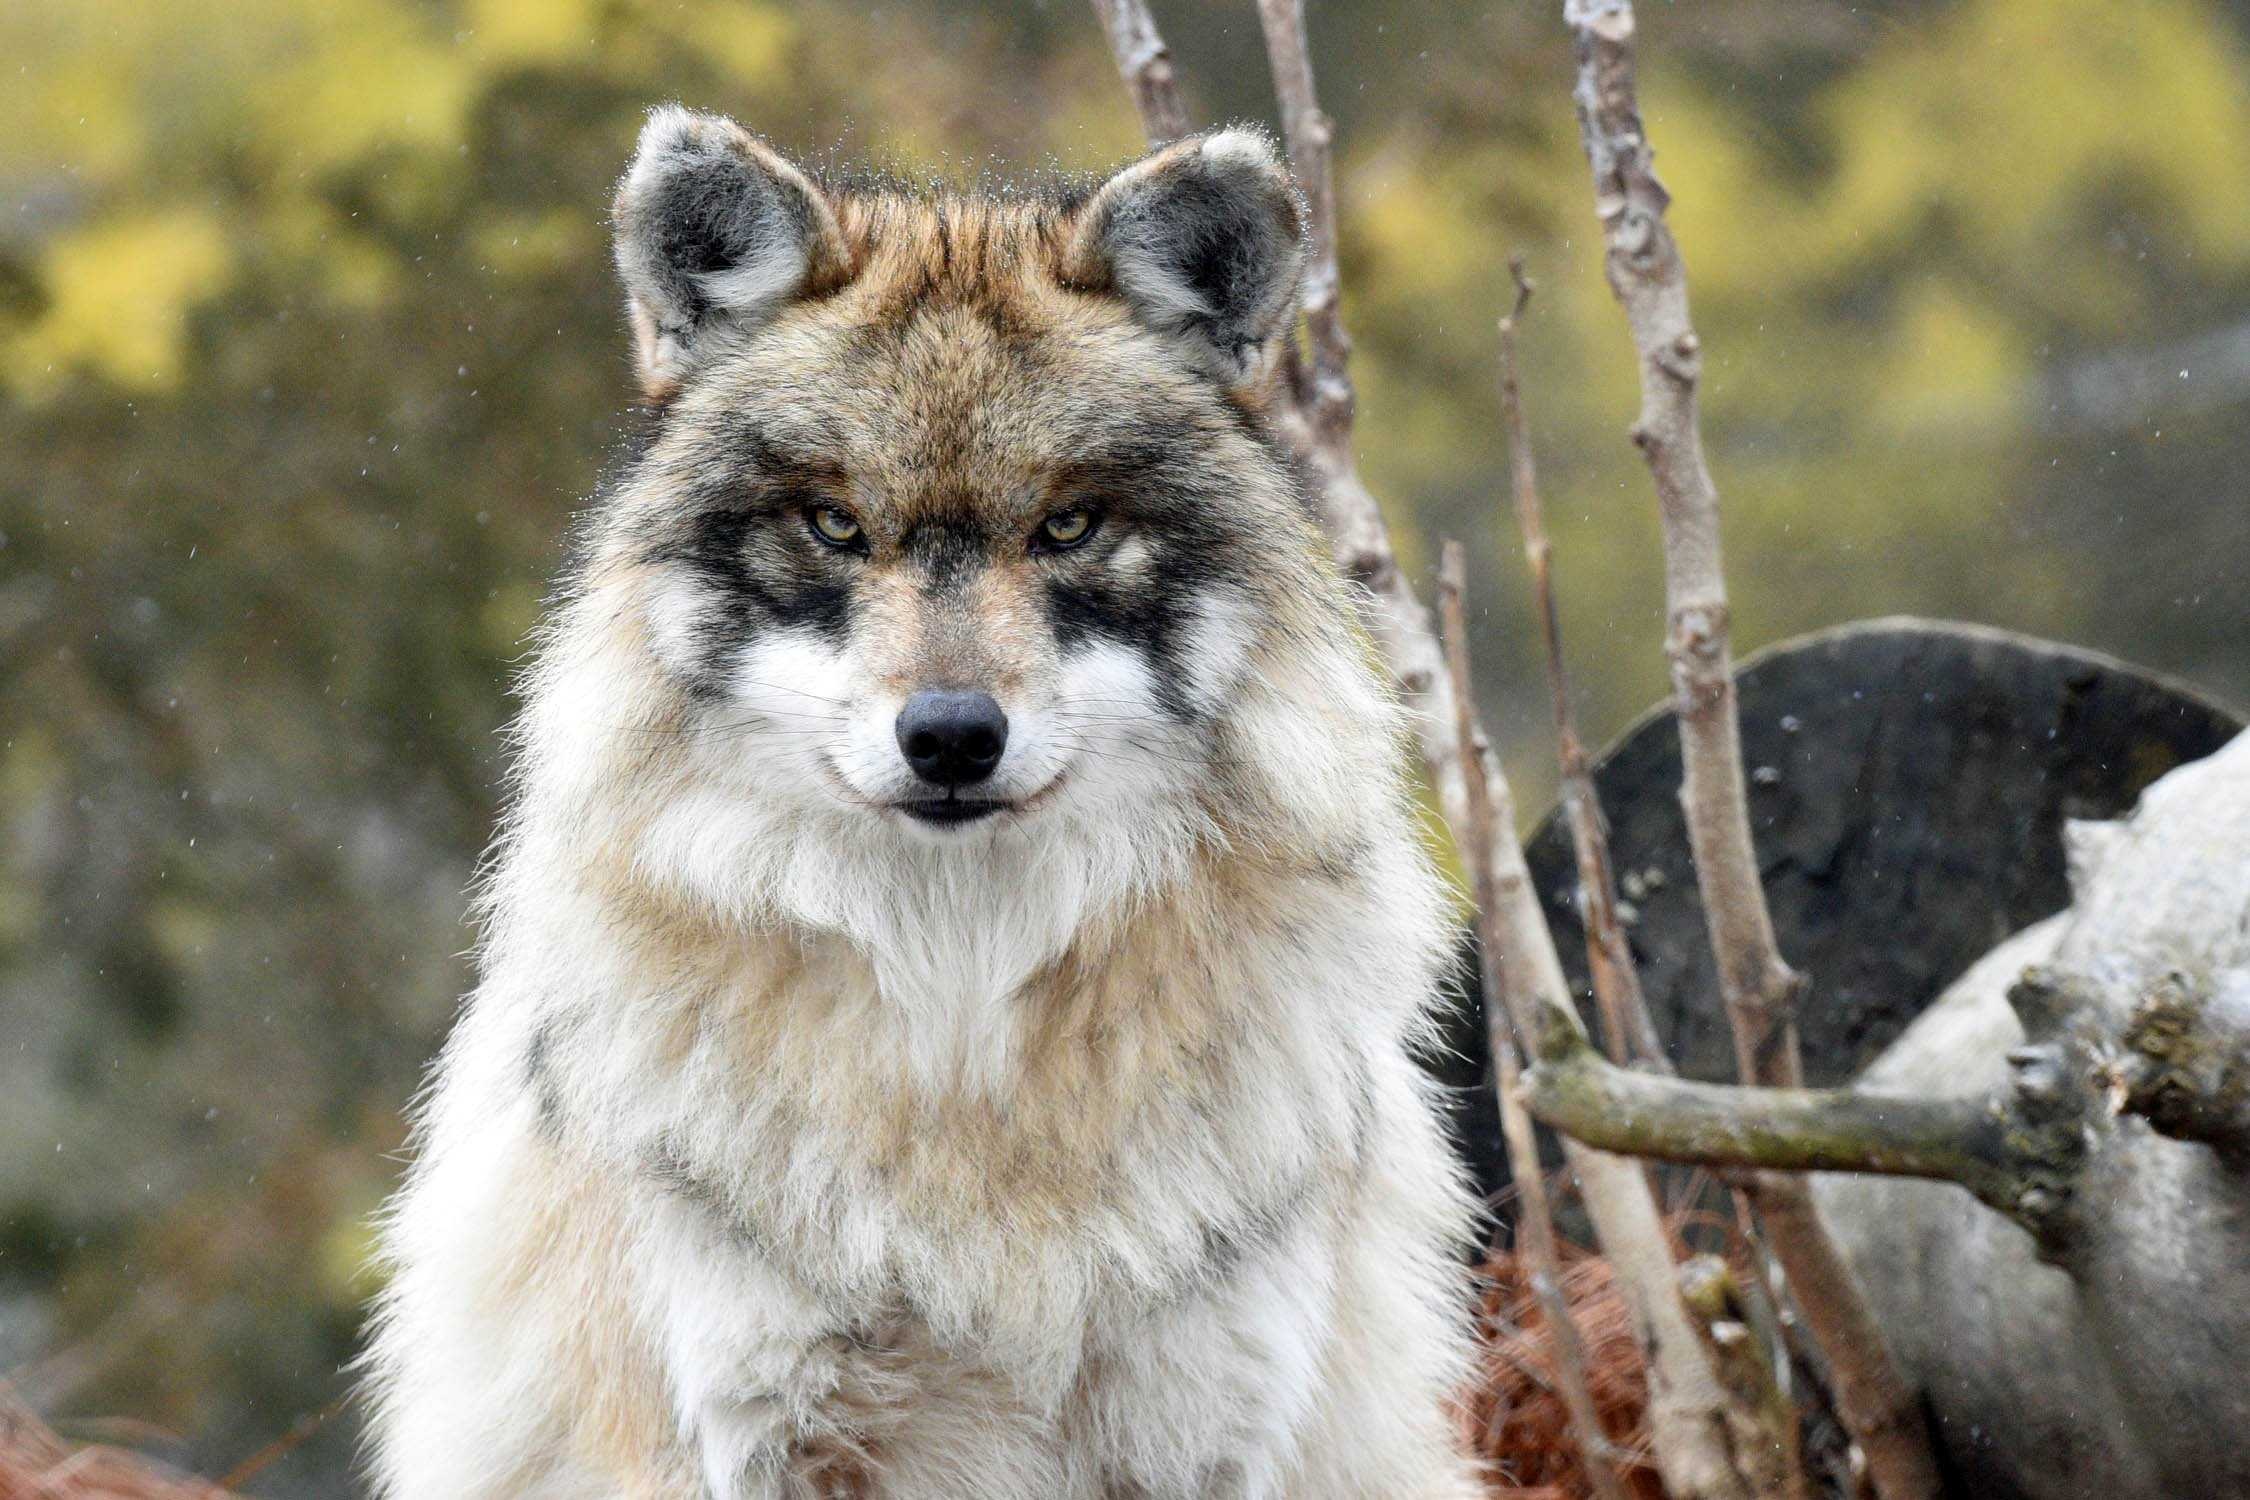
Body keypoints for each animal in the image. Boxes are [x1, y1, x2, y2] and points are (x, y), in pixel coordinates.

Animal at [363, 105, 1480, 1498]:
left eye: (1069, 525)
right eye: (837, 524)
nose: (951, 736)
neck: (958, 1017)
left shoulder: (1202, 1432)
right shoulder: (764, 1429)